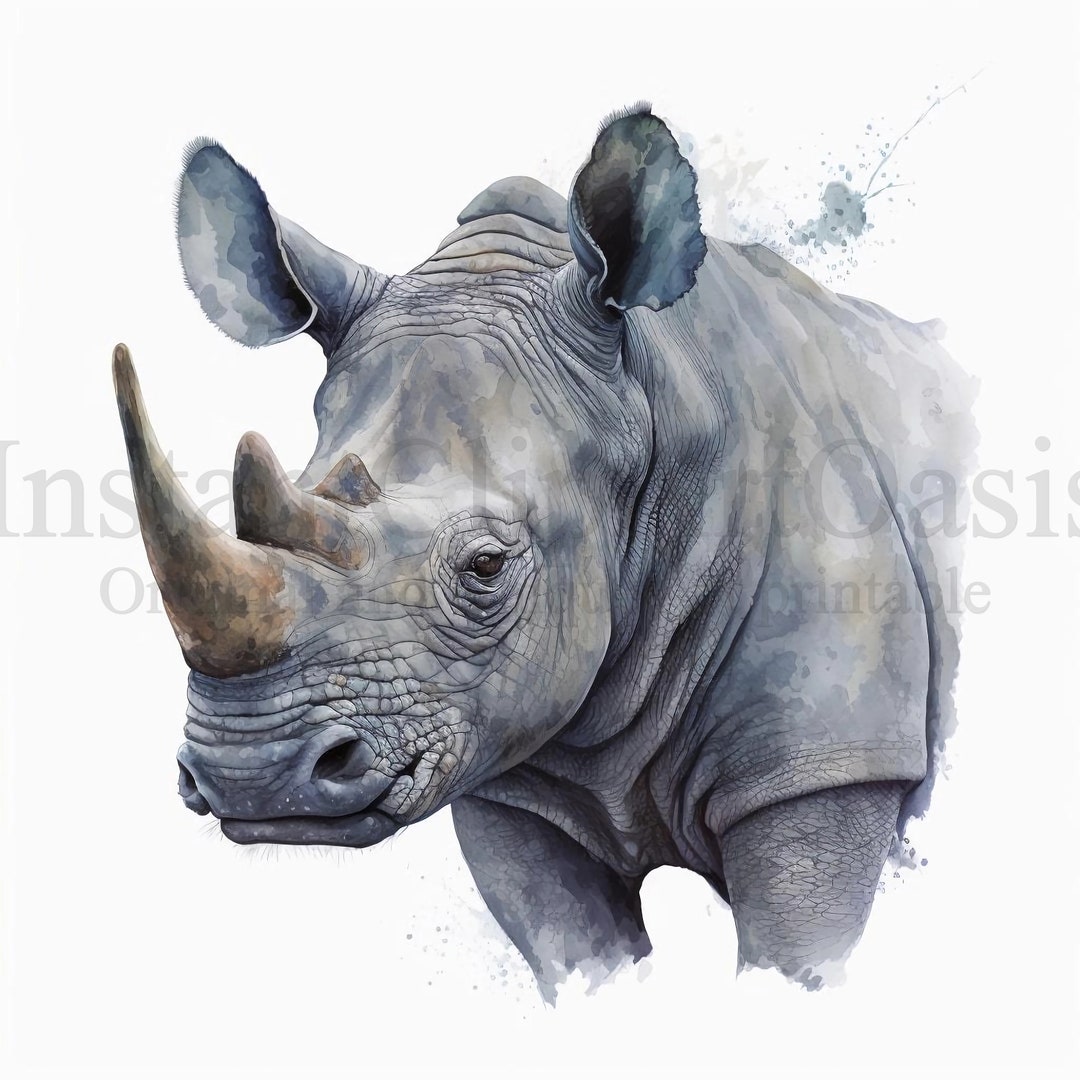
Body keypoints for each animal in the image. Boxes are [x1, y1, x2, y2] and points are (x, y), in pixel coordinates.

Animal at [113, 104, 975, 997]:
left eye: (486, 566)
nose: (250, 772)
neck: (659, 396)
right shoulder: (514, 771)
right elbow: (575, 950)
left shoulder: (830, 765)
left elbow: (800, 949)